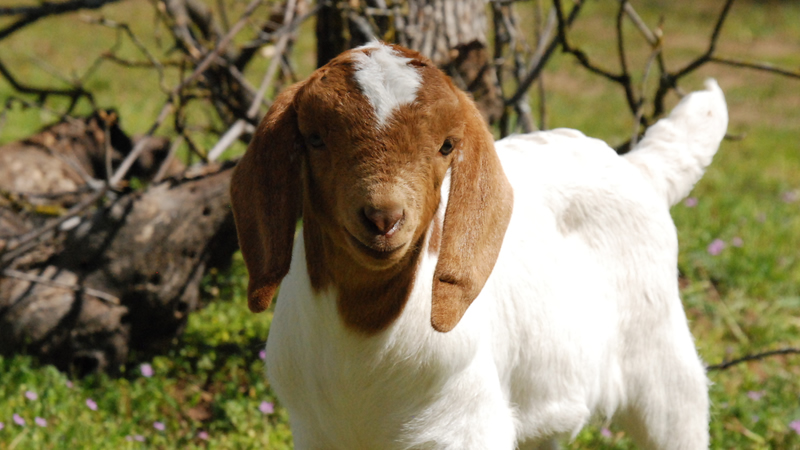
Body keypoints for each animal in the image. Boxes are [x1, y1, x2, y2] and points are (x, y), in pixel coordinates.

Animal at [230, 42, 728, 449]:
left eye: (447, 146)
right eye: (314, 138)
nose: (383, 218)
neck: (363, 328)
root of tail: (641, 169)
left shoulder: (465, 426)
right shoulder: (316, 432)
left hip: (665, 366)